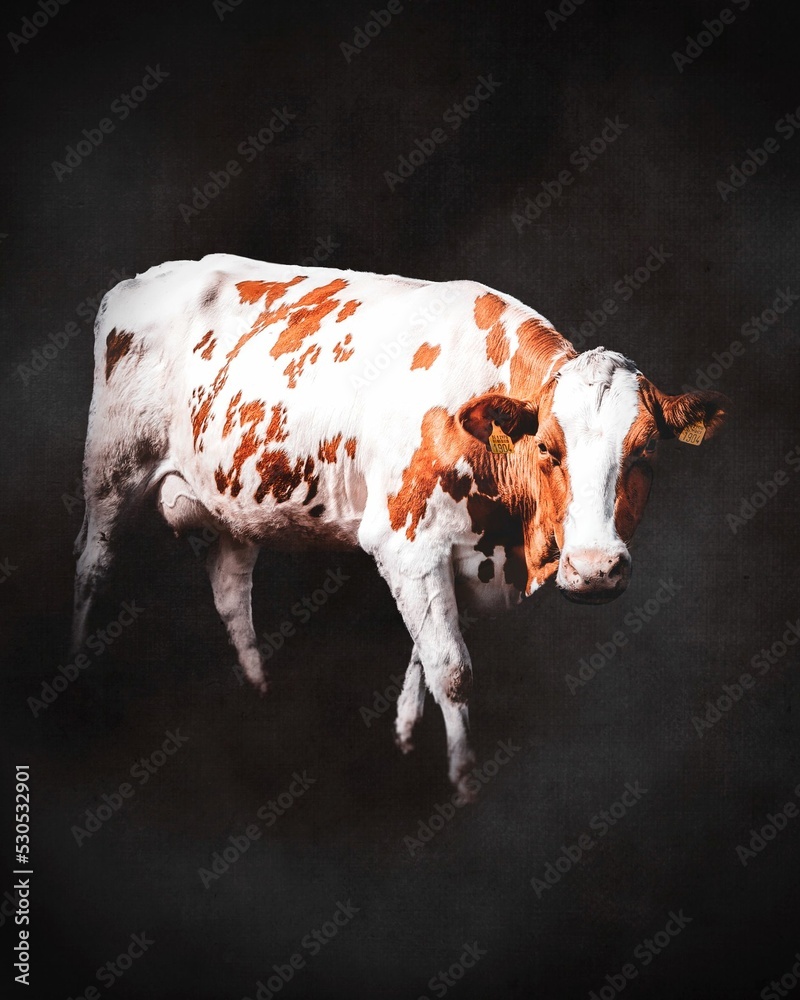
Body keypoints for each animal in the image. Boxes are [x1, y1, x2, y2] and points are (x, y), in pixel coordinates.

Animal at [73, 254, 728, 799]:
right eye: (547, 446)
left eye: (646, 450)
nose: (594, 569)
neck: (512, 545)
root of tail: (140, 280)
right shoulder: (405, 540)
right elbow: (453, 670)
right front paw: (462, 780)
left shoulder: (446, 554)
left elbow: (425, 653)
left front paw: (407, 738)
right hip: (112, 471)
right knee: (91, 564)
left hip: (235, 500)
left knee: (231, 589)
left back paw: (260, 694)